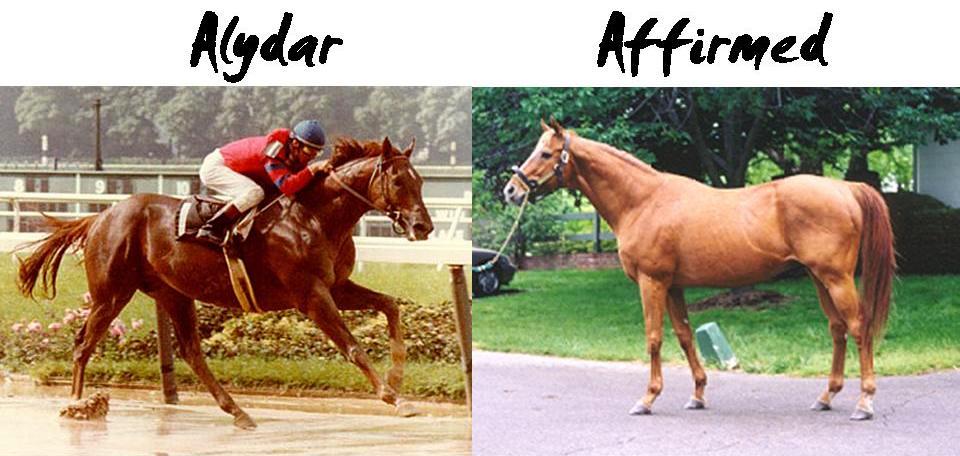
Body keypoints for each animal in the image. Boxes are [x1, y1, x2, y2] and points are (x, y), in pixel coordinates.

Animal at [17, 136, 434, 429]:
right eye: (398, 181)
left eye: (420, 181)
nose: (423, 226)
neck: (316, 218)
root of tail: (101, 216)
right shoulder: (311, 295)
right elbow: (352, 347)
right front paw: (395, 398)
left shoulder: (335, 287)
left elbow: (391, 305)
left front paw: (397, 374)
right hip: (111, 293)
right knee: (83, 344)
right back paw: (76, 404)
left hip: (173, 293)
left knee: (191, 353)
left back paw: (238, 411)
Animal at [502, 119, 895, 421]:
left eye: (546, 154)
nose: (511, 190)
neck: (643, 201)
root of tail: (845, 188)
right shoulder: (673, 285)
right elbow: (685, 335)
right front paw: (698, 394)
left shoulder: (651, 282)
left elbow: (654, 337)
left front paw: (647, 398)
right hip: (819, 278)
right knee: (838, 329)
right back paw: (826, 397)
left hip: (836, 278)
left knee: (858, 327)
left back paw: (865, 402)